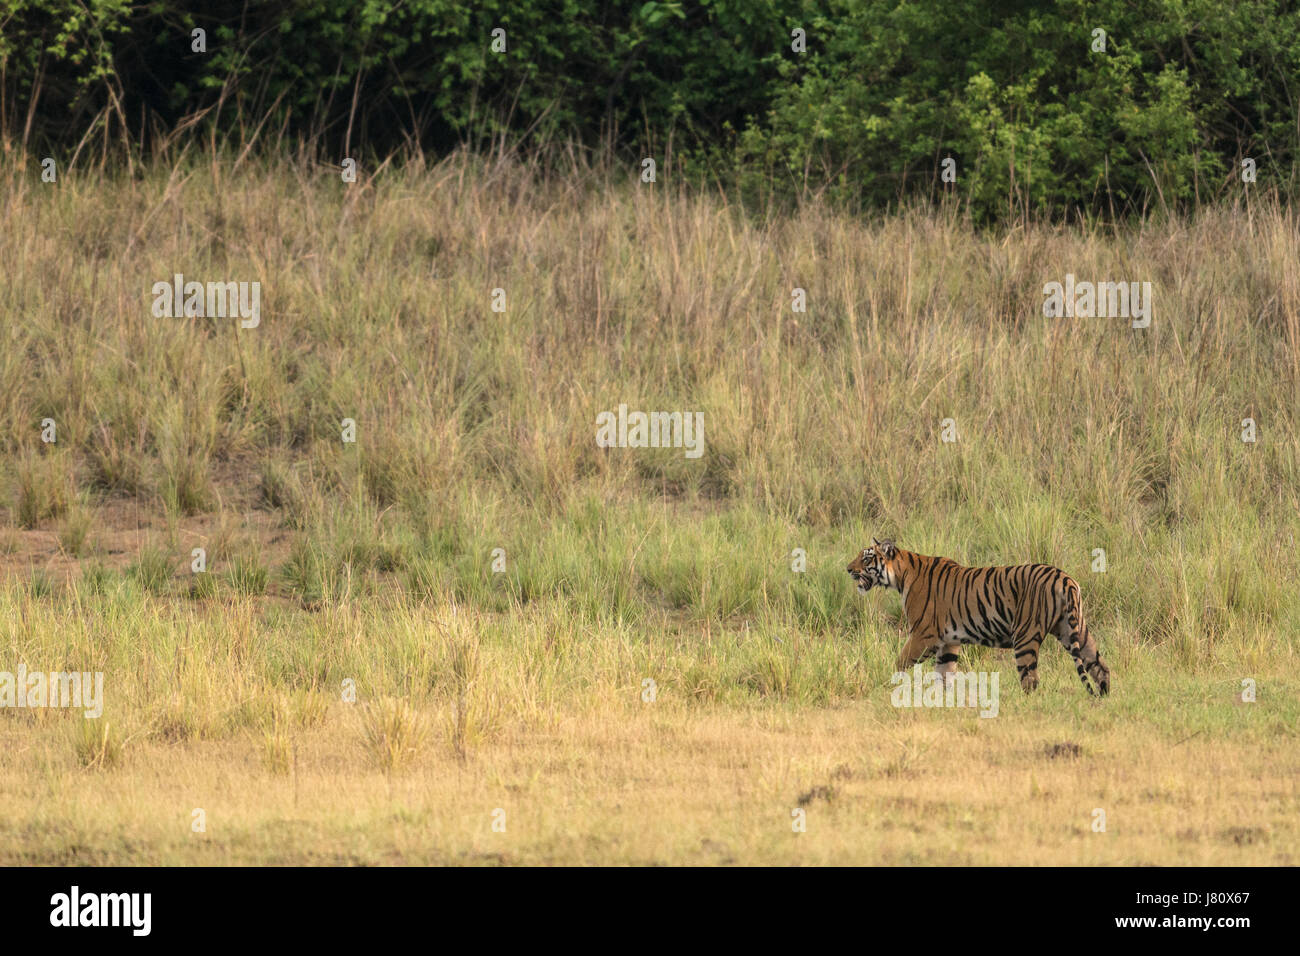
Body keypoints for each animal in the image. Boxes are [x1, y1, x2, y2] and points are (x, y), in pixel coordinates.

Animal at [847, 538, 1110, 695]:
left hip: (1025, 635)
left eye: (866, 558)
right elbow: (944, 674)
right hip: (1073, 629)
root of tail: (1064, 577)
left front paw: (890, 687)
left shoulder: (923, 636)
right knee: (1099, 666)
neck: (900, 576)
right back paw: (1103, 696)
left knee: (1031, 680)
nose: (848, 569)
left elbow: (900, 664)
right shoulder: (948, 642)